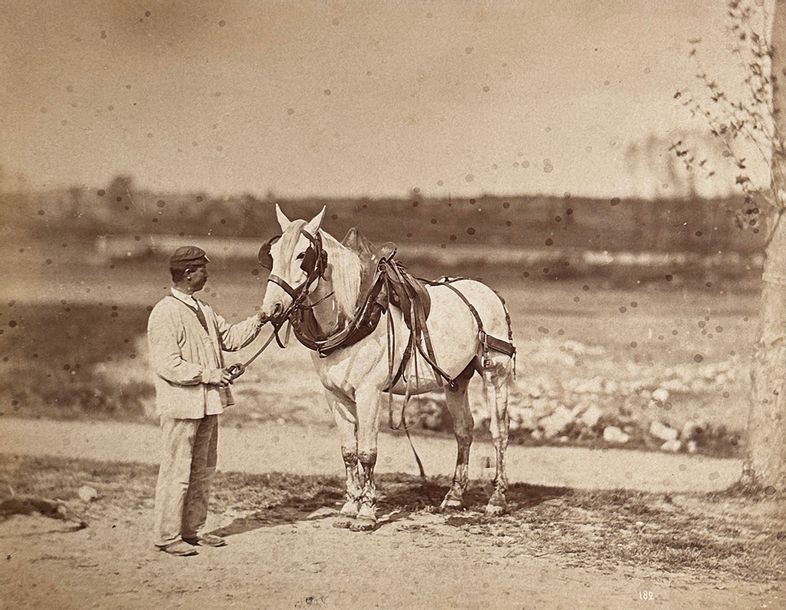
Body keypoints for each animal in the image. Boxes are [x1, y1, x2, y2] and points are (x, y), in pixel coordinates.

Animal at [259, 205, 516, 531]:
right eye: (271, 253)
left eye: (303, 255)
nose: (271, 310)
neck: (351, 315)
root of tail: (490, 293)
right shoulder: (335, 396)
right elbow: (348, 452)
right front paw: (349, 507)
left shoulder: (369, 393)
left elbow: (368, 453)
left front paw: (366, 513)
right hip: (456, 380)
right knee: (464, 431)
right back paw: (454, 496)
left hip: (496, 373)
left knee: (499, 432)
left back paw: (497, 500)